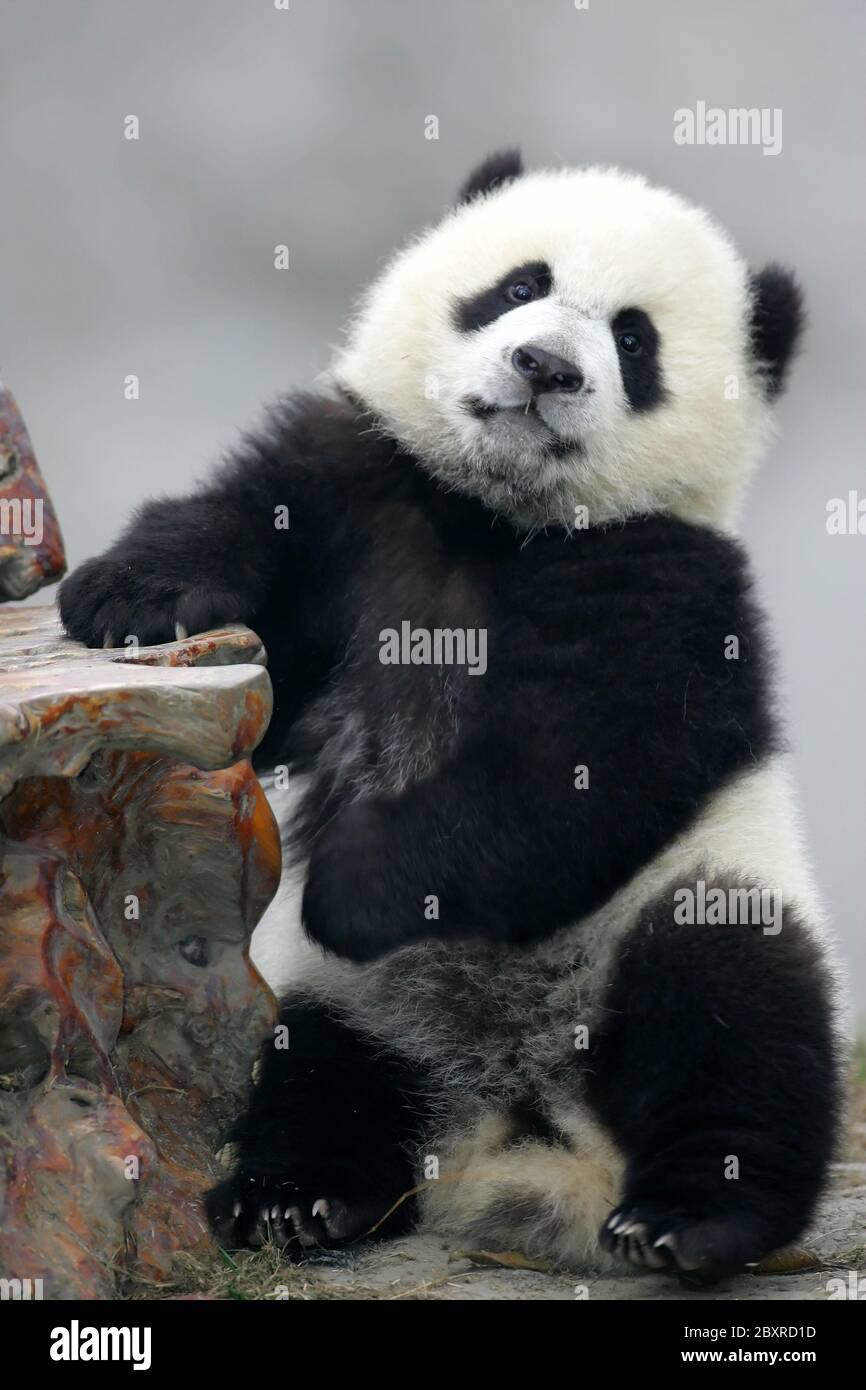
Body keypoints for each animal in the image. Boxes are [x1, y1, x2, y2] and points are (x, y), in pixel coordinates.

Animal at [60, 149, 843, 1282]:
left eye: (632, 339)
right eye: (518, 286)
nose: (543, 366)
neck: (493, 516)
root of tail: (516, 1135)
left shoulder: (666, 583)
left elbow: (573, 771)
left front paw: (354, 883)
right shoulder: (364, 487)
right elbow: (250, 545)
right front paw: (129, 594)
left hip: (695, 898)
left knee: (735, 1022)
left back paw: (686, 1217)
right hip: (348, 1005)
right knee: (323, 1074)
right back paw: (295, 1196)